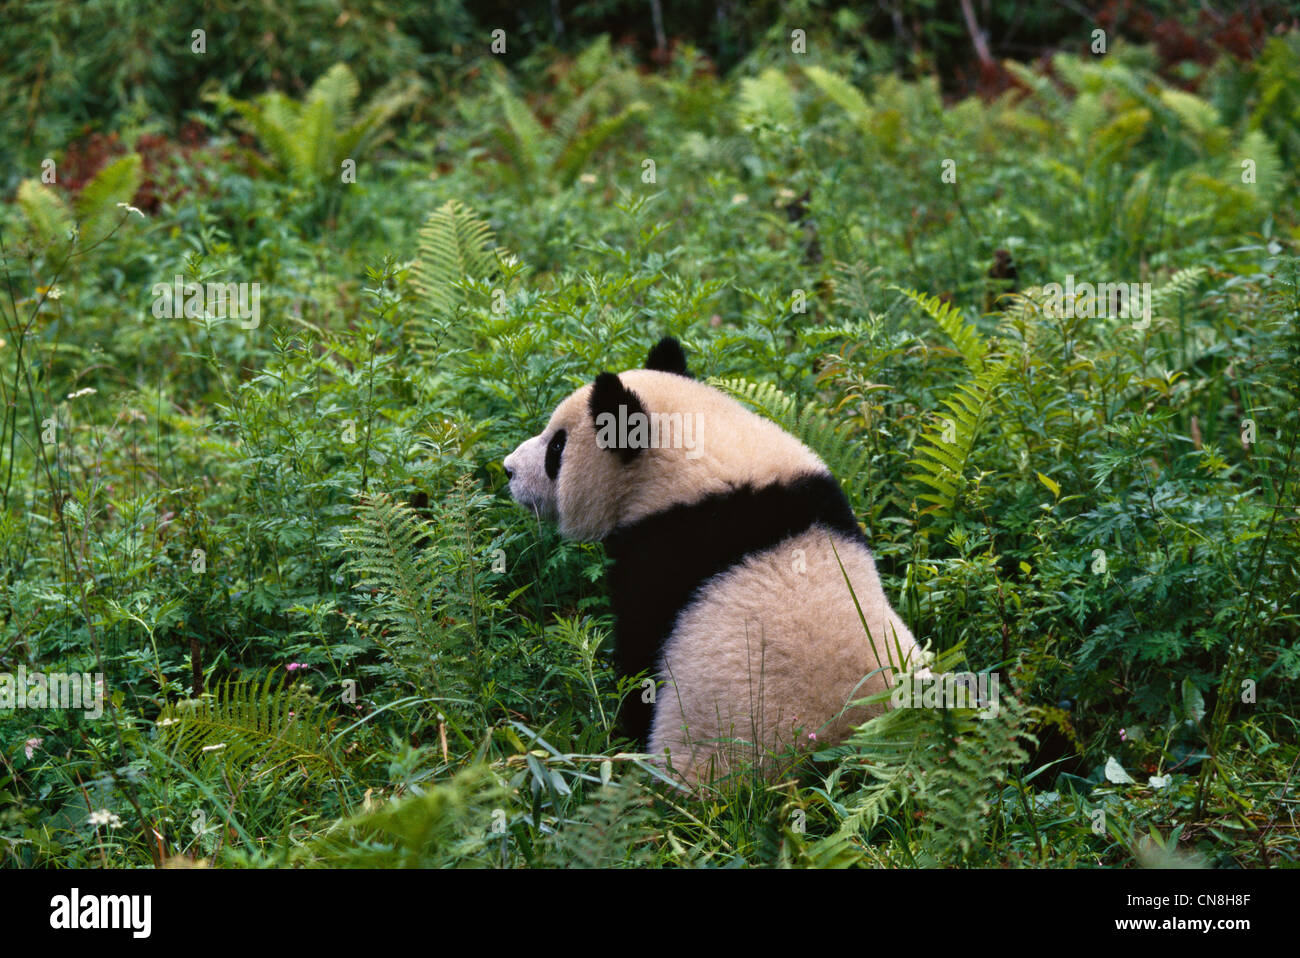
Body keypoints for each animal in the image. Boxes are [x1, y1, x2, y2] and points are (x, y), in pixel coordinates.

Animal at [503, 337, 922, 785]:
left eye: (556, 447)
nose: (508, 469)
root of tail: (847, 752)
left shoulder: (660, 553)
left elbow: (640, 658)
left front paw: (622, 732)